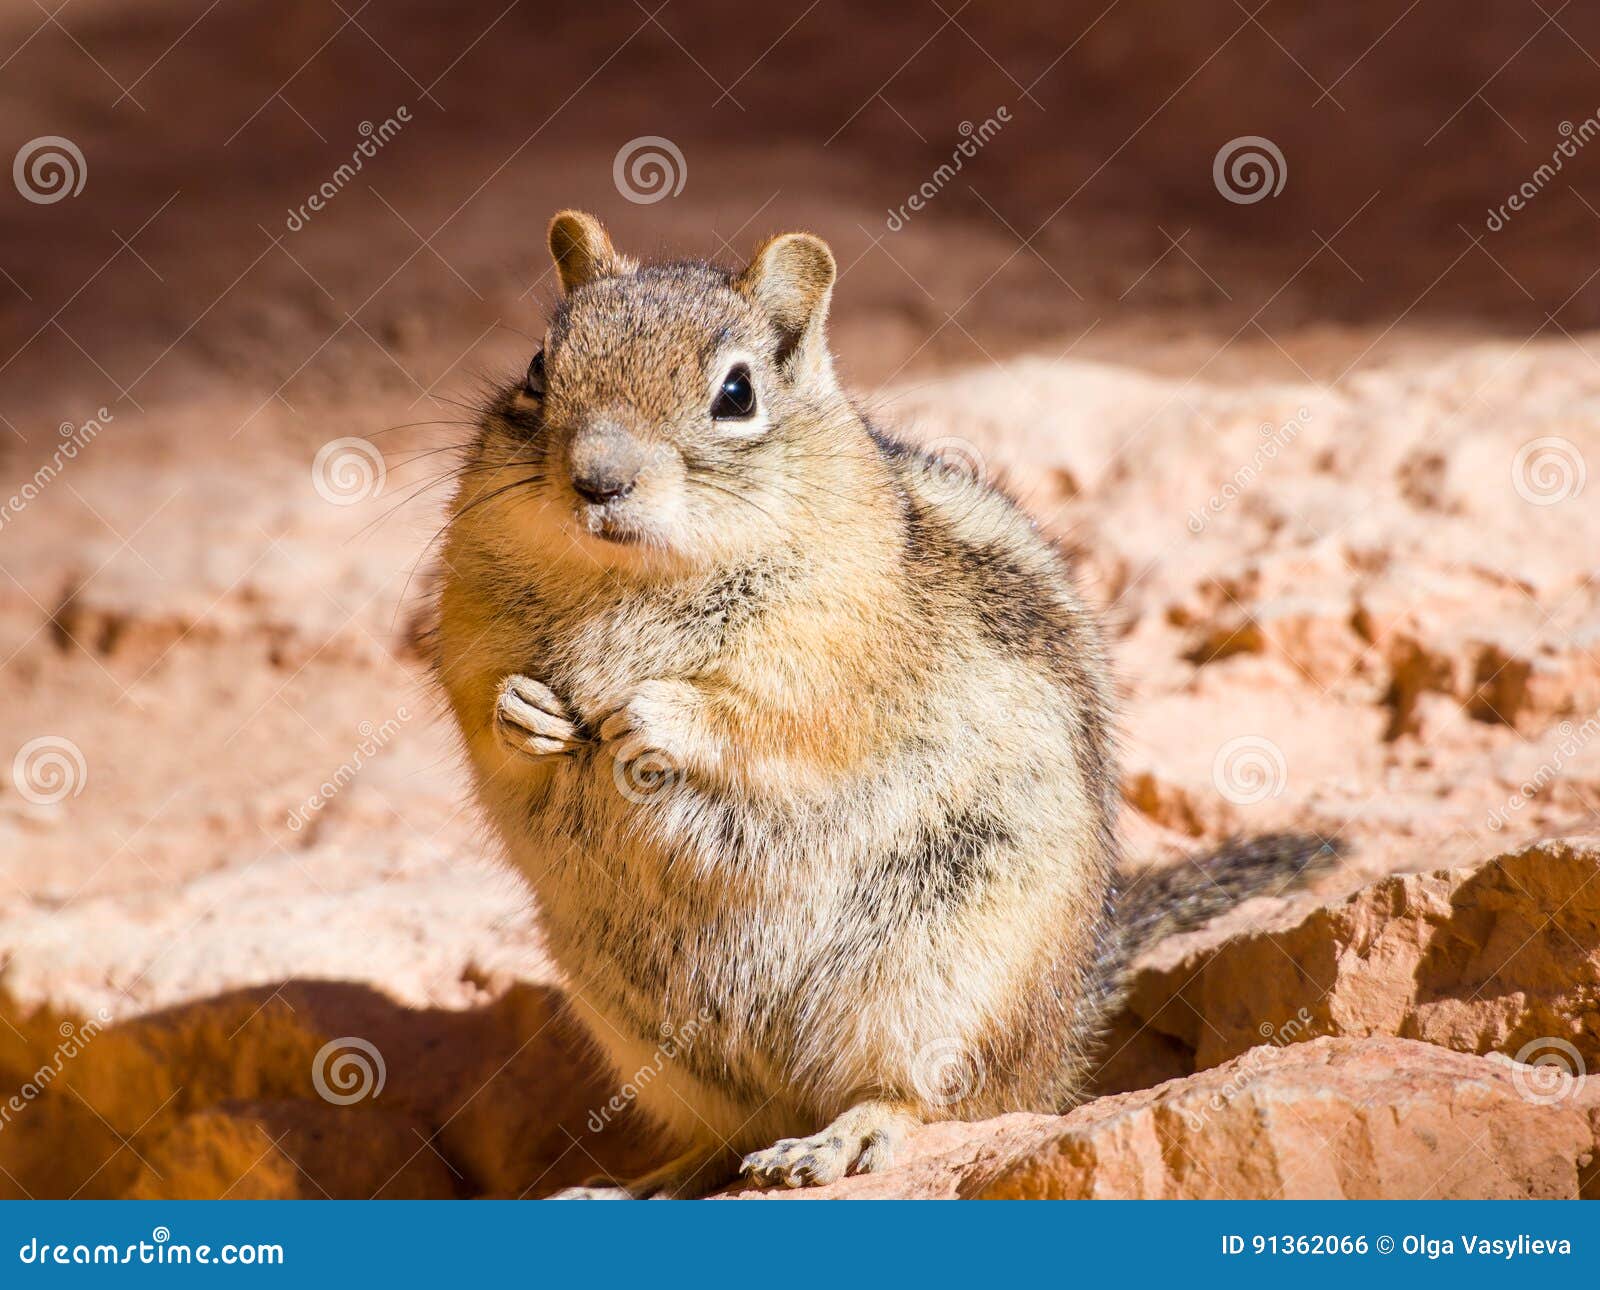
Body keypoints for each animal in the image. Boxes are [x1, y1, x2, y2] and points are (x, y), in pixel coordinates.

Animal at [432, 210, 1335, 1198]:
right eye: (539, 366)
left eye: (736, 393)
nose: (597, 479)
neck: (625, 587)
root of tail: (1063, 1031)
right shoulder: (468, 621)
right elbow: (476, 698)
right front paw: (526, 712)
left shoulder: (835, 661)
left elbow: (776, 719)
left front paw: (653, 712)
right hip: (636, 1024)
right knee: (721, 1135)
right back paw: (634, 1182)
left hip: (940, 979)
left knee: (926, 1099)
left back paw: (835, 1140)